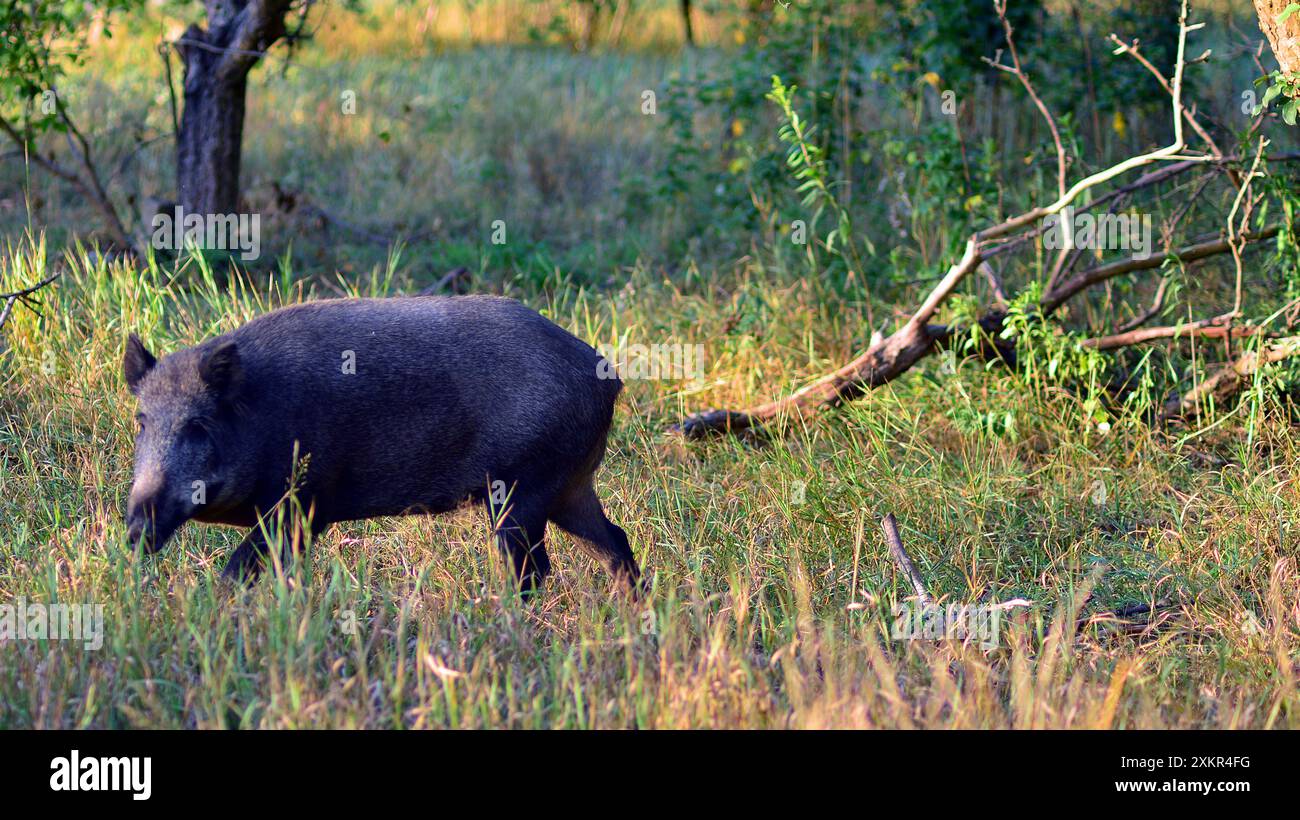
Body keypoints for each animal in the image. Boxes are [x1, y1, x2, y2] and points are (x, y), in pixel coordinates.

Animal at [122, 295, 641, 594]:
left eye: (197, 426)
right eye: (141, 421)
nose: (137, 527)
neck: (261, 412)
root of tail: (606, 375)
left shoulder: (303, 501)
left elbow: (240, 569)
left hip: (523, 488)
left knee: (533, 568)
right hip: (568, 485)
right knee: (613, 540)